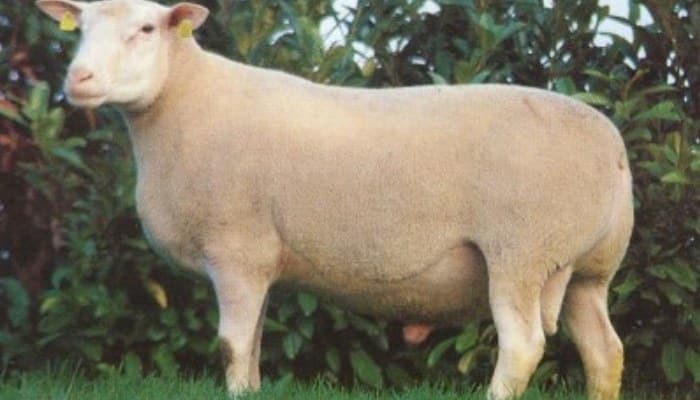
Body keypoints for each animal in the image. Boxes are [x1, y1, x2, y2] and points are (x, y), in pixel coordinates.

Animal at [36, 1, 634, 399]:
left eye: (144, 29)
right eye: (80, 28)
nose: (78, 78)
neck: (182, 103)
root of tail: (612, 148)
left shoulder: (236, 249)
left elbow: (232, 344)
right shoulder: (261, 262)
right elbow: (253, 344)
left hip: (522, 252)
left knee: (522, 347)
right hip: (587, 270)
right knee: (604, 351)